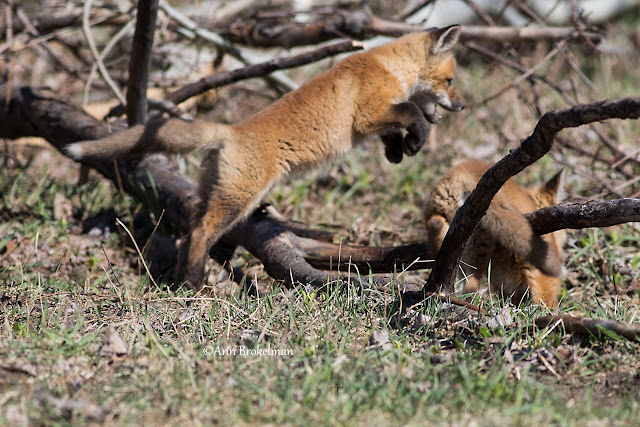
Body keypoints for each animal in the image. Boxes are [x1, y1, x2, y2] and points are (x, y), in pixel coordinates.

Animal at [66, 25, 465, 290]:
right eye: (450, 81)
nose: (462, 106)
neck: (388, 66)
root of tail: (231, 131)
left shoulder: (377, 119)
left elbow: (396, 129)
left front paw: (400, 152)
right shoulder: (368, 114)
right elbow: (412, 112)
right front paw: (417, 140)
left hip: (215, 193)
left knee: (191, 231)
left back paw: (182, 279)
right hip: (237, 199)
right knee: (200, 233)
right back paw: (194, 284)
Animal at [423, 160, 565, 306]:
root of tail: (466, 172)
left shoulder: (505, 285)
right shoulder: (540, 280)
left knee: (436, 225)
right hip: (478, 249)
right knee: (471, 287)